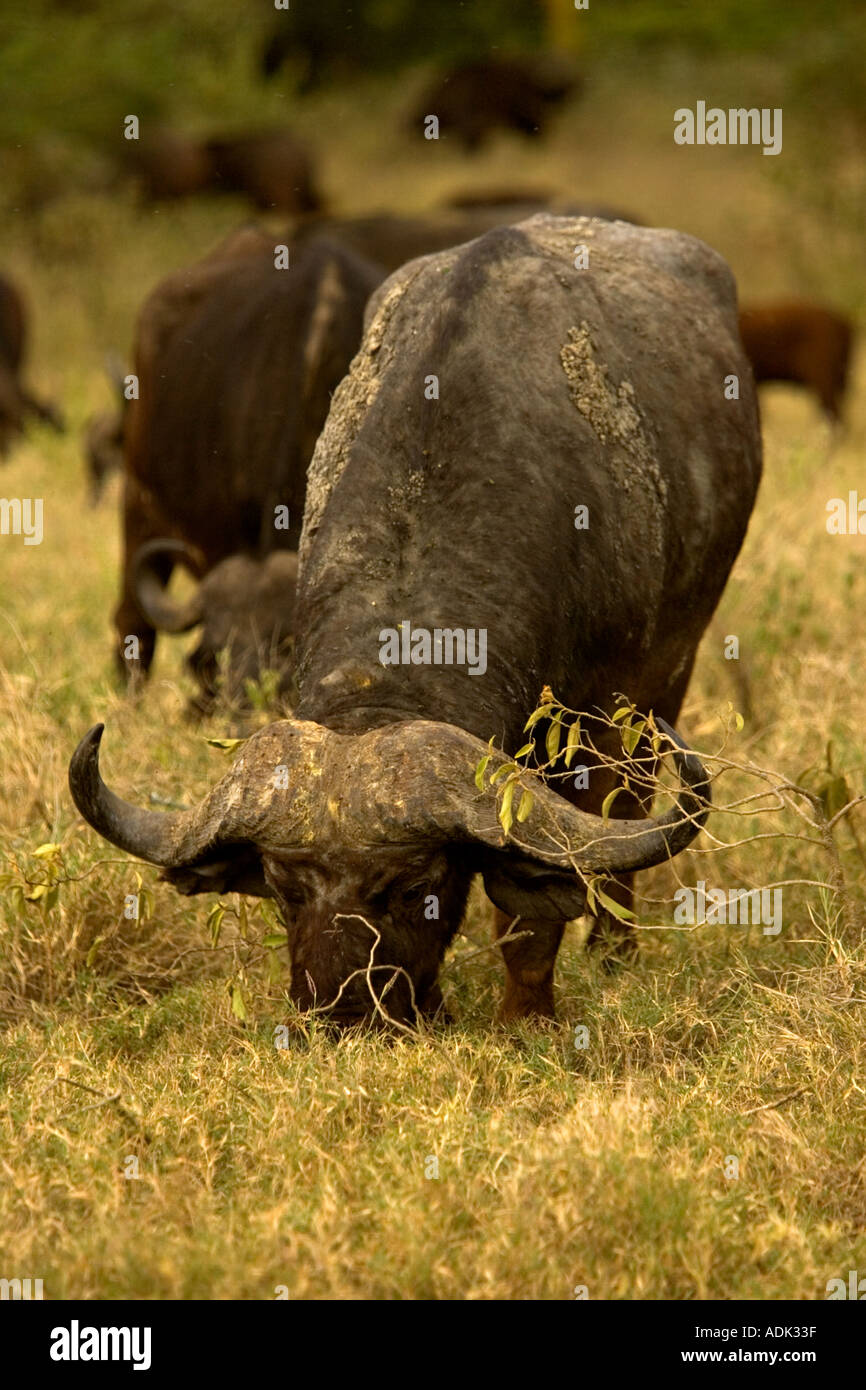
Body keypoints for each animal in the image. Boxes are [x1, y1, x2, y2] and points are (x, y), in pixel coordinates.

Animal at [71, 215, 762, 1028]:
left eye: (416, 886)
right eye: (283, 888)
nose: (341, 1011)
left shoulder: (592, 720)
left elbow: (538, 903)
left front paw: (527, 1015)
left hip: (668, 677)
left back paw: (614, 951)